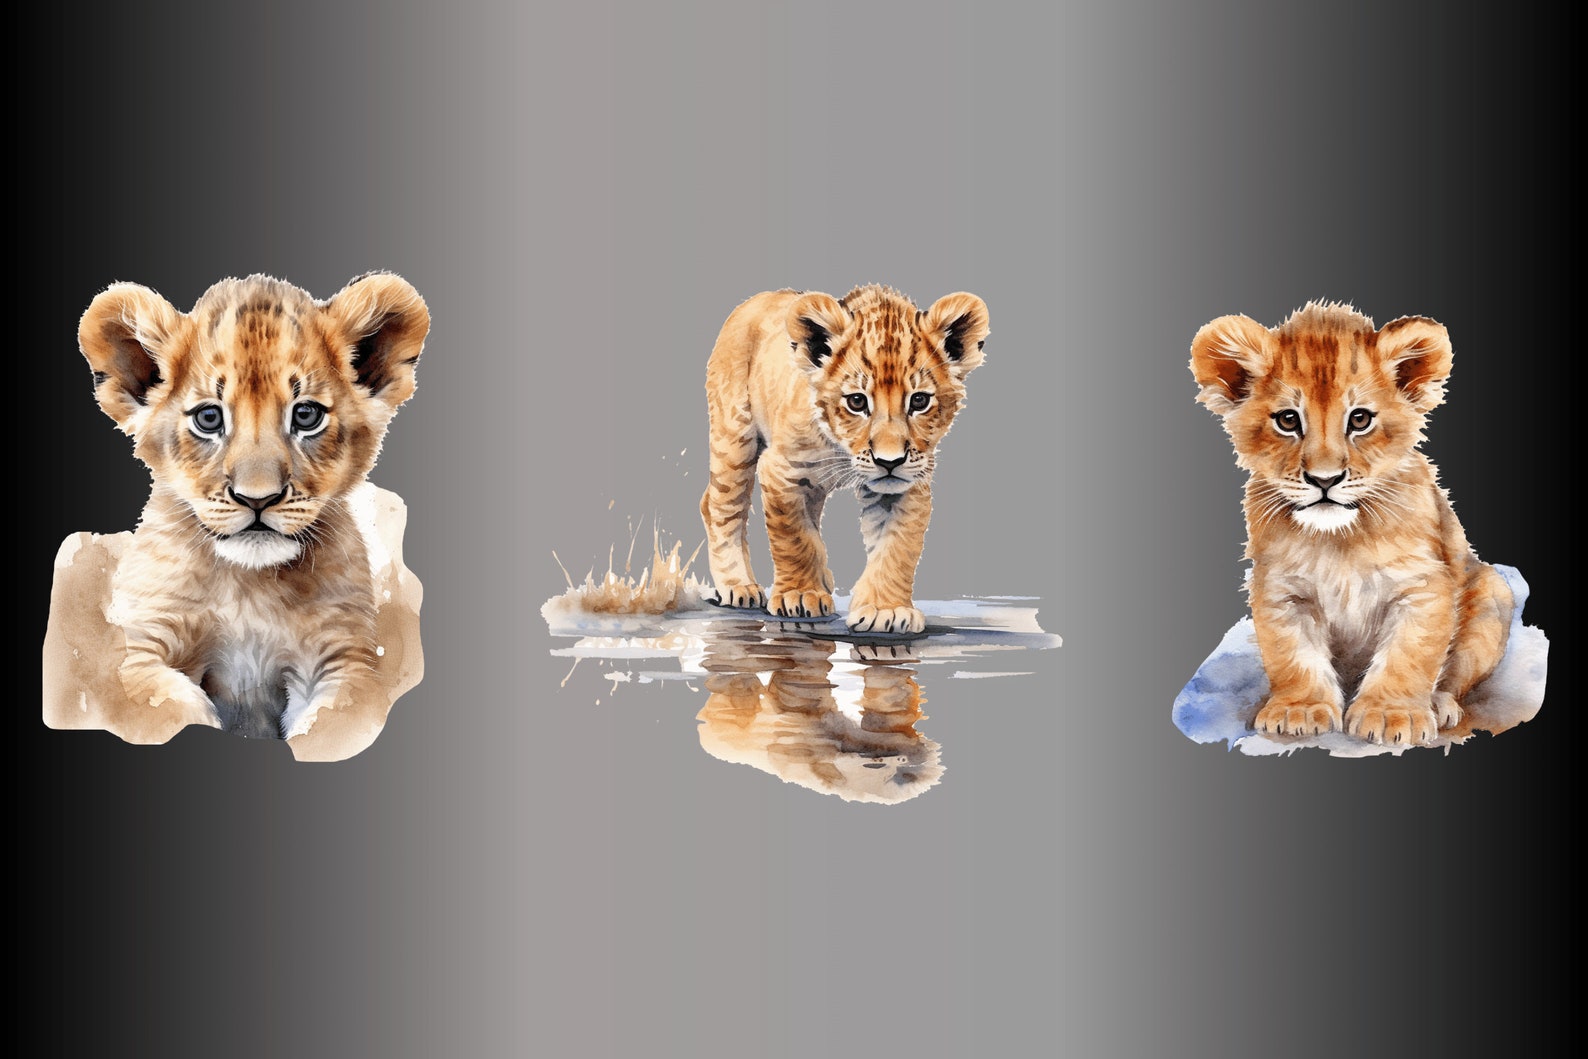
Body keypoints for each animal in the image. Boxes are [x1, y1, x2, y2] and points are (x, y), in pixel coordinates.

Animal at [73, 272, 430, 760]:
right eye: (208, 418)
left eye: (306, 415)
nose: (257, 499)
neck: (249, 586)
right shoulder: (138, 655)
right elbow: (173, 712)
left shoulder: (343, 659)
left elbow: (330, 733)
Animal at [701, 285, 989, 635]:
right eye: (857, 402)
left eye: (919, 401)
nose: (889, 461)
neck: (841, 449)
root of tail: (763, 296)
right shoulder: (782, 469)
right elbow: (793, 537)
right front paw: (800, 595)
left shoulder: (906, 485)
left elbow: (897, 548)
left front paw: (885, 609)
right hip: (735, 437)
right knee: (720, 506)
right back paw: (738, 586)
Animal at [1189, 302, 1513, 746]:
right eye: (1288, 420)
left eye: (1360, 420)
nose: (1324, 480)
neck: (1339, 539)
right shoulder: (1281, 592)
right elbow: (1293, 655)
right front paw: (1298, 710)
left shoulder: (1423, 586)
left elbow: (1408, 656)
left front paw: (1393, 715)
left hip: (1493, 596)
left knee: (1454, 676)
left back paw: (1441, 706)